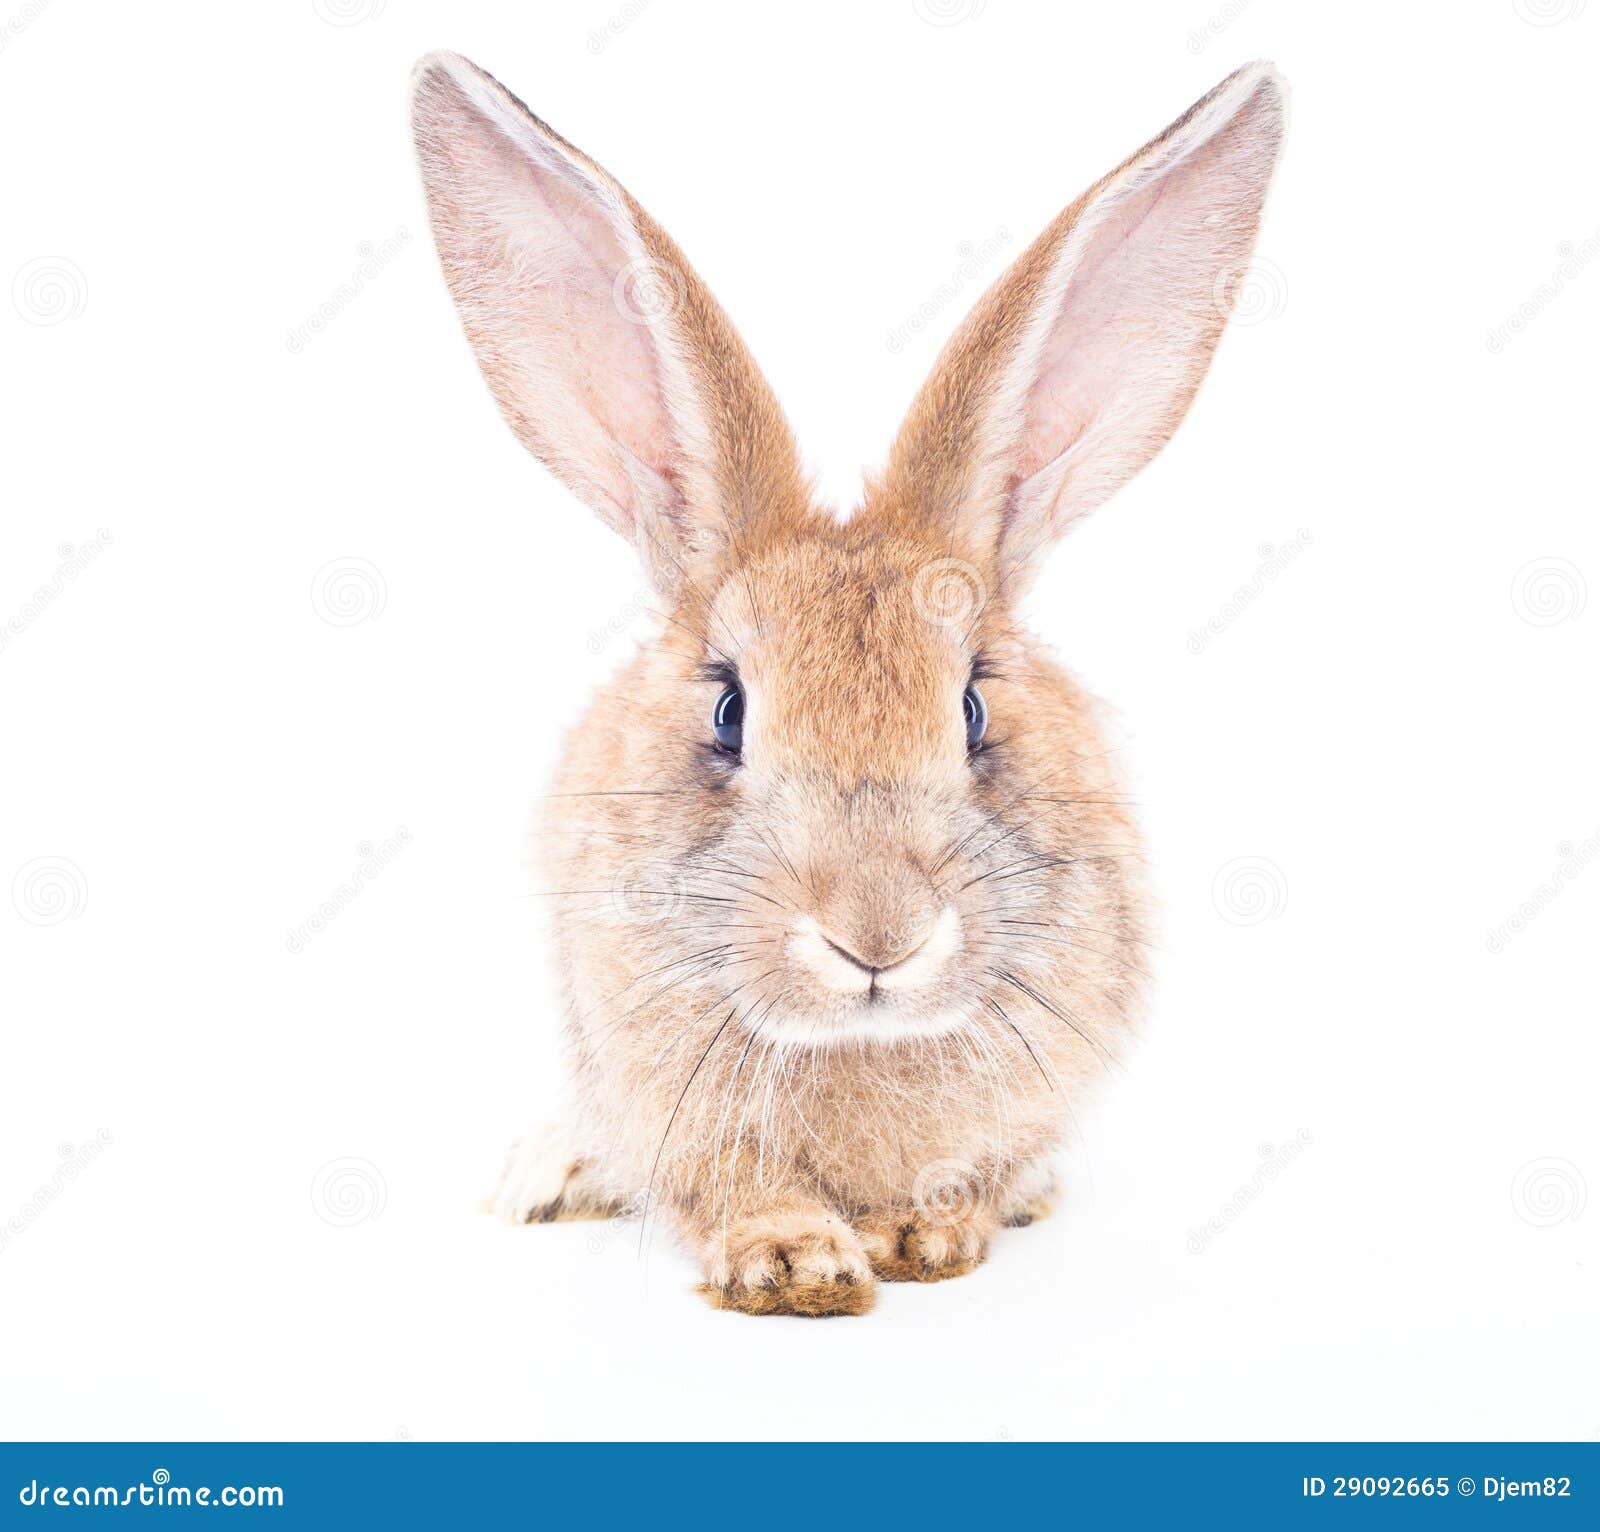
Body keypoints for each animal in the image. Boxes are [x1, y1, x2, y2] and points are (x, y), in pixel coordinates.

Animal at [410, 52, 1285, 1315]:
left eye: (973, 705)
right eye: (728, 709)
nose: (879, 938)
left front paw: (933, 1233)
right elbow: (733, 1190)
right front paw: (794, 1265)